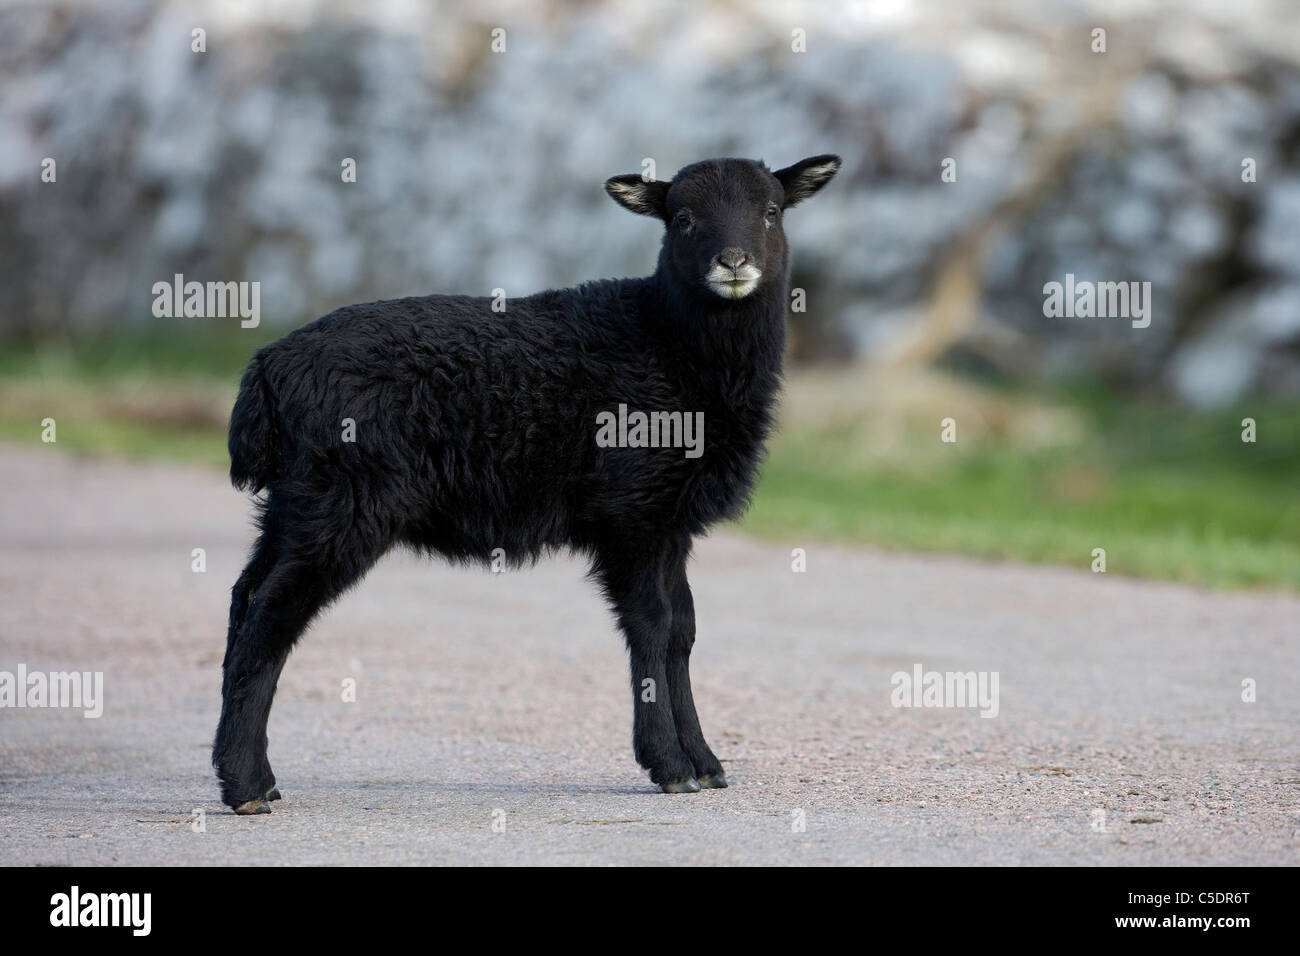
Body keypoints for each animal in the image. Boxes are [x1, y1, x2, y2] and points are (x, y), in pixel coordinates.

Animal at [214, 154, 842, 813]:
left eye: (771, 211)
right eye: (683, 218)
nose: (734, 262)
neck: (670, 345)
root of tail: (269, 368)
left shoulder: (670, 522)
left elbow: (684, 630)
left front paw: (707, 763)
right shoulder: (631, 513)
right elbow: (652, 625)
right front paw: (670, 766)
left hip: (294, 503)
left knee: (244, 599)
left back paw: (245, 771)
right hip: (342, 502)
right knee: (268, 623)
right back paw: (248, 786)